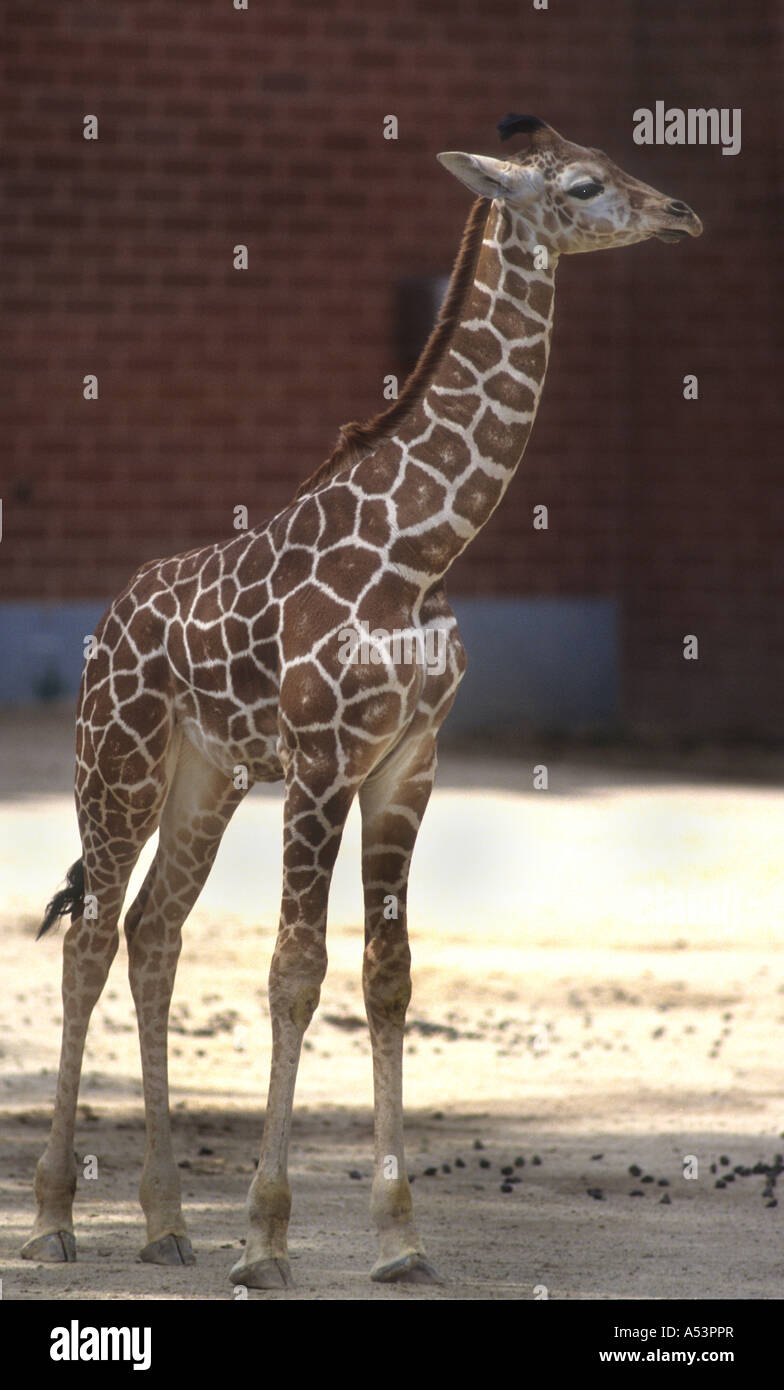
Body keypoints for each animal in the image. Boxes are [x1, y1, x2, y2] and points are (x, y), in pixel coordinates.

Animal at [22, 115, 701, 1287]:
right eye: (582, 185)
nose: (679, 213)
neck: (422, 550)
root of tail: (107, 623)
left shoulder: (406, 762)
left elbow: (388, 977)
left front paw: (398, 1241)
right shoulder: (322, 757)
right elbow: (296, 971)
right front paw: (265, 1240)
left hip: (206, 780)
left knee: (155, 934)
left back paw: (164, 1225)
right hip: (116, 766)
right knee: (90, 942)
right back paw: (58, 1220)